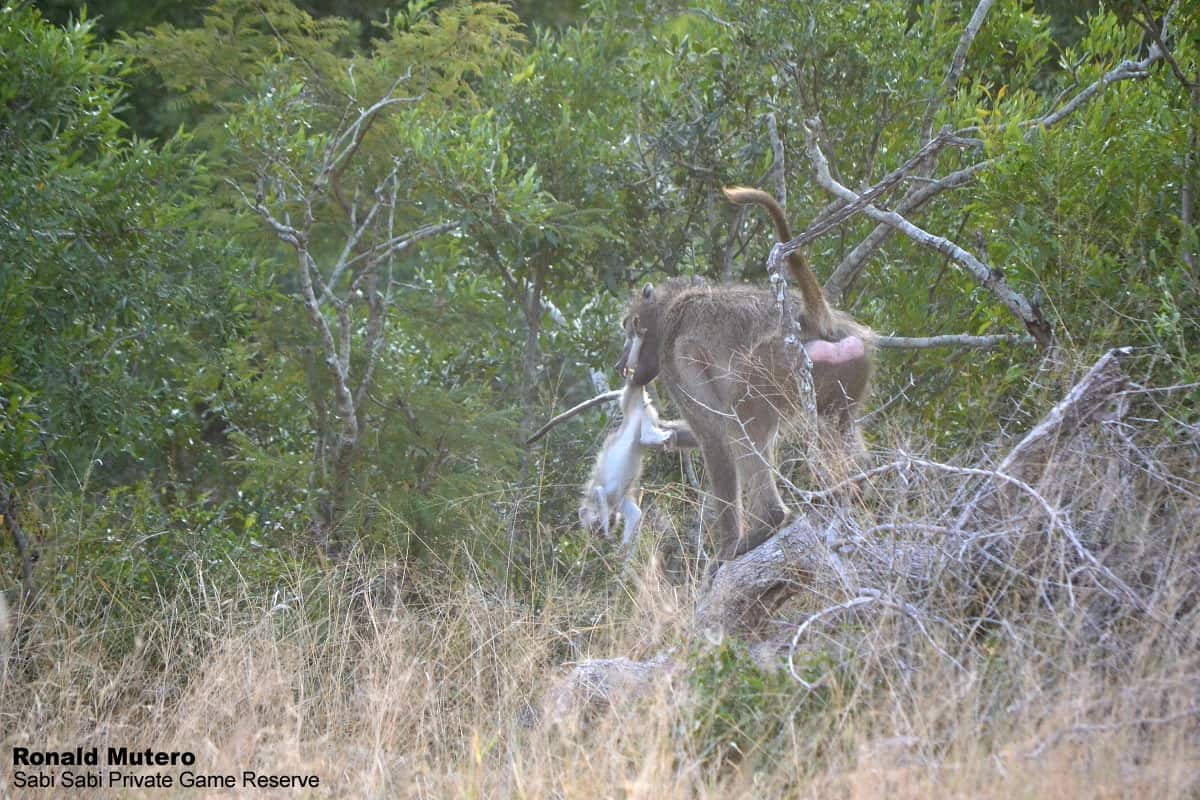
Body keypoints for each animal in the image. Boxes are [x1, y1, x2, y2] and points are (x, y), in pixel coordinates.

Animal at [615, 187, 873, 563]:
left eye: (628, 327)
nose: (621, 366)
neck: (671, 312)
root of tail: (813, 319)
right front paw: (662, 435)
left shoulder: (679, 360)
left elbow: (716, 435)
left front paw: (725, 549)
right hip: (849, 365)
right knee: (836, 427)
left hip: (773, 365)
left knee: (741, 422)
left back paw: (765, 526)